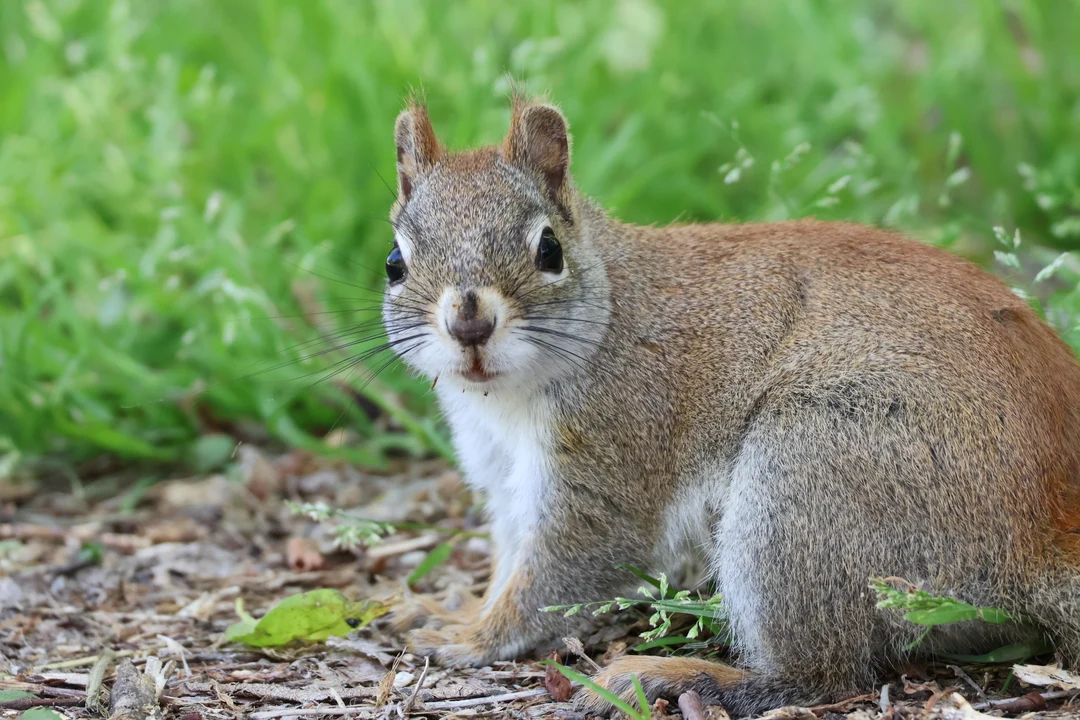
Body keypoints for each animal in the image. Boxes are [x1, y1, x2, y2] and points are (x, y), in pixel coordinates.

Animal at [382, 95, 1080, 716]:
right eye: (394, 262)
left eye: (548, 250)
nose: (469, 323)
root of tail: (1034, 542)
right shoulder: (500, 469)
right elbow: (509, 556)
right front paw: (452, 607)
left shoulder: (614, 440)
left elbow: (562, 570)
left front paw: (470, 637)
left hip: (813, 475)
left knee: (820, 677)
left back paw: (673, 677)